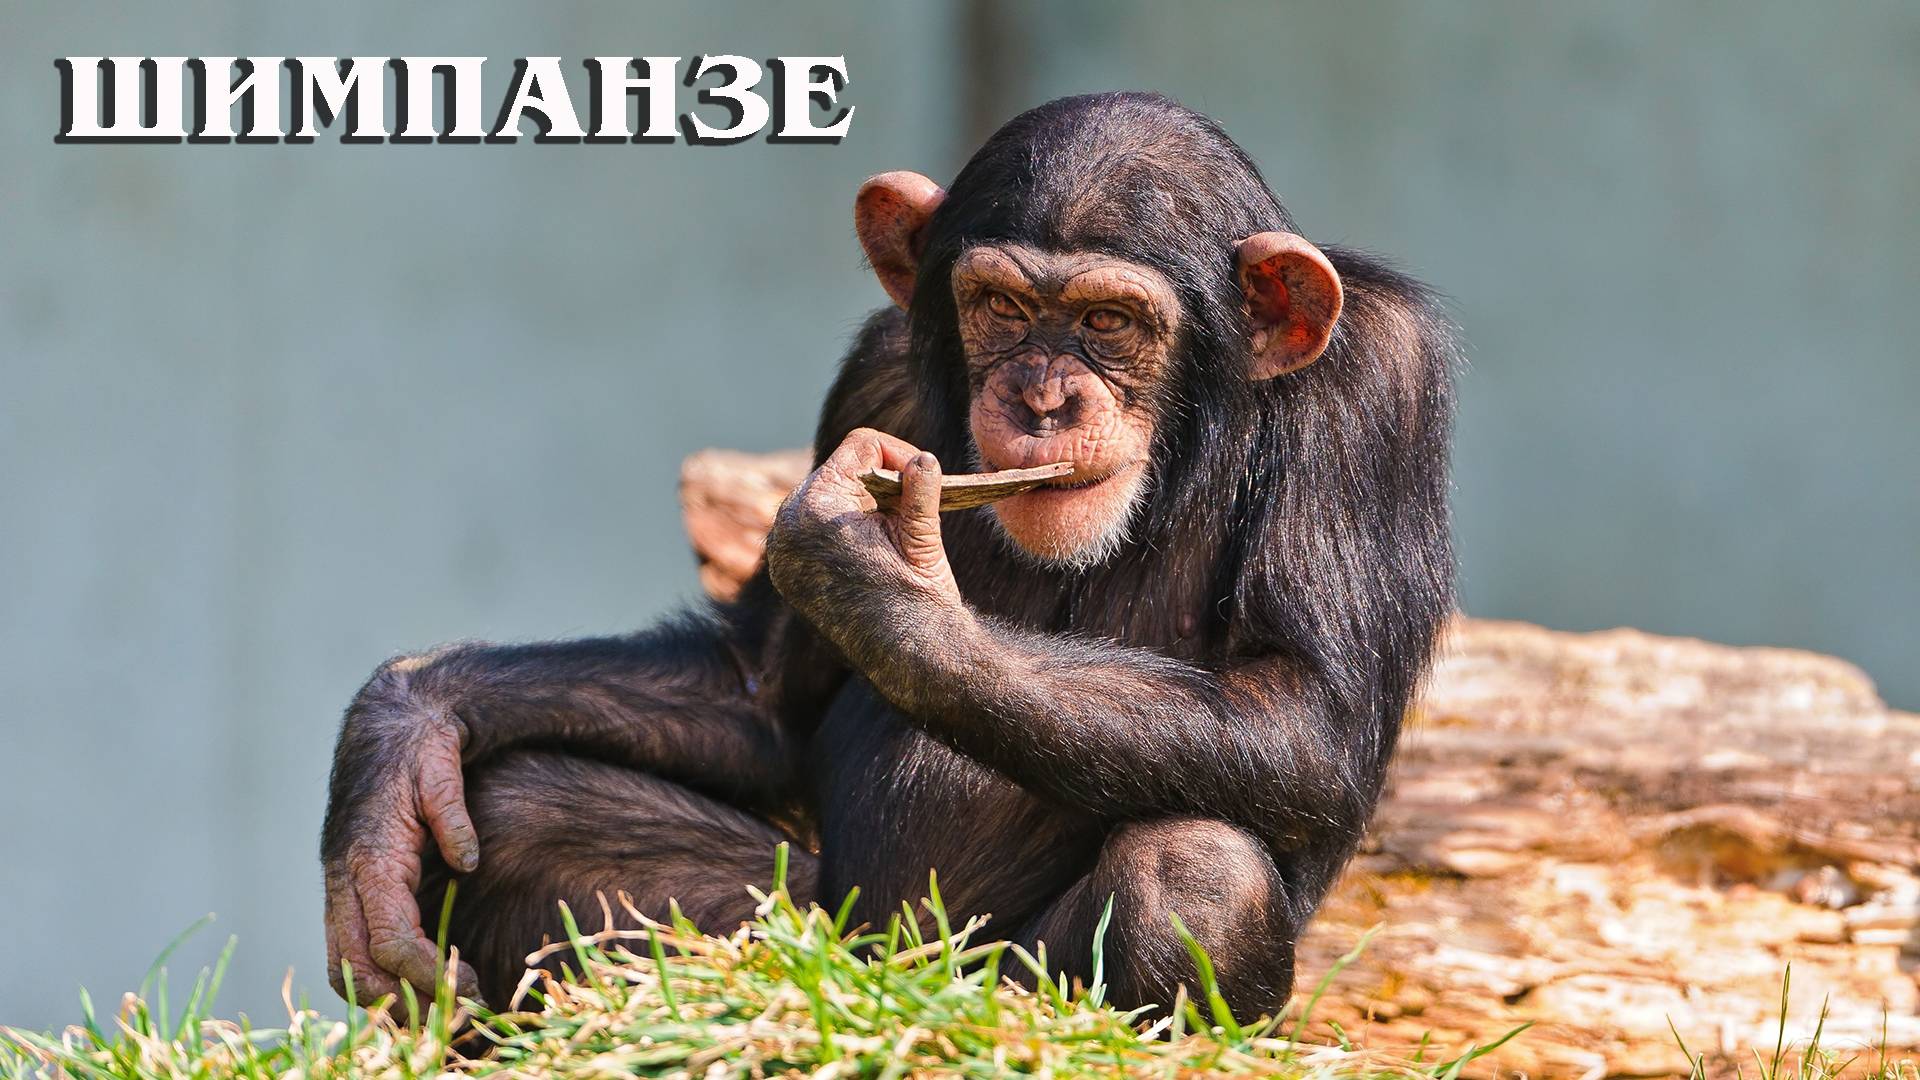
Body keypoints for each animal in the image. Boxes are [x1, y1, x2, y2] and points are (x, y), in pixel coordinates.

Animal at [320, 91, 1457, 1018]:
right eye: (1001, 306)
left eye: (1108, 319)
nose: (1043, 398)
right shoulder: (873, 379)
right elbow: (762, 690)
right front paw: (404, 727)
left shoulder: (1378, 388)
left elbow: (1304, 710)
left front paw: (875, 582)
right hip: (815, 929)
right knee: (516, 812)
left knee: (1196, 872)